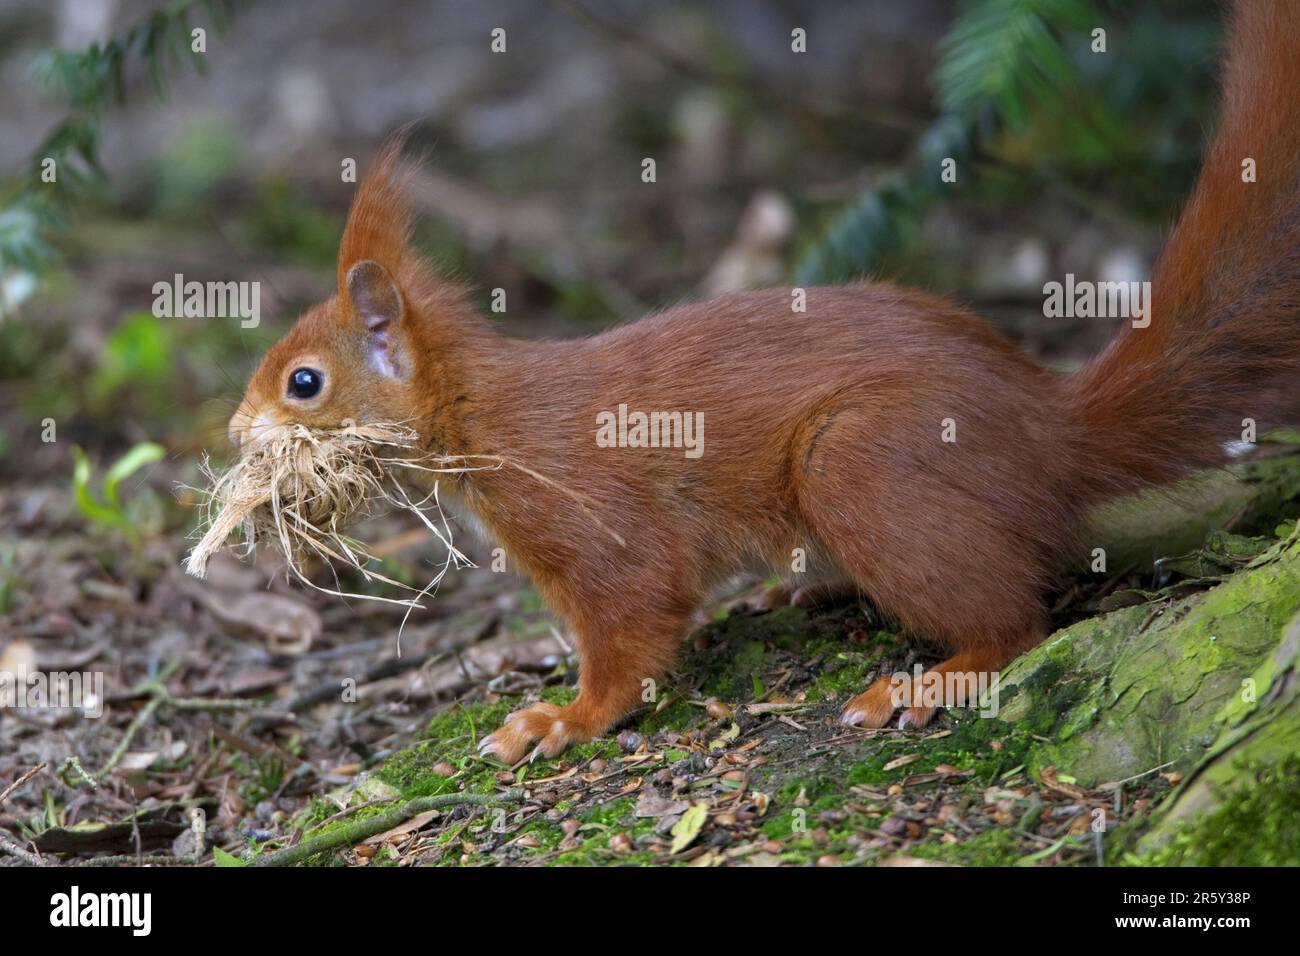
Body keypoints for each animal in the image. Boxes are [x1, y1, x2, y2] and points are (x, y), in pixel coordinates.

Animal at [229, 0, 1300, 763]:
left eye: (305, 382)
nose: (237, 432)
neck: (480, 406)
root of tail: (1052, 425)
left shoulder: (588, 512)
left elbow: (633, 622)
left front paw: (564, 719)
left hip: (865, 464)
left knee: (1017, 619)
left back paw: (927, 681)